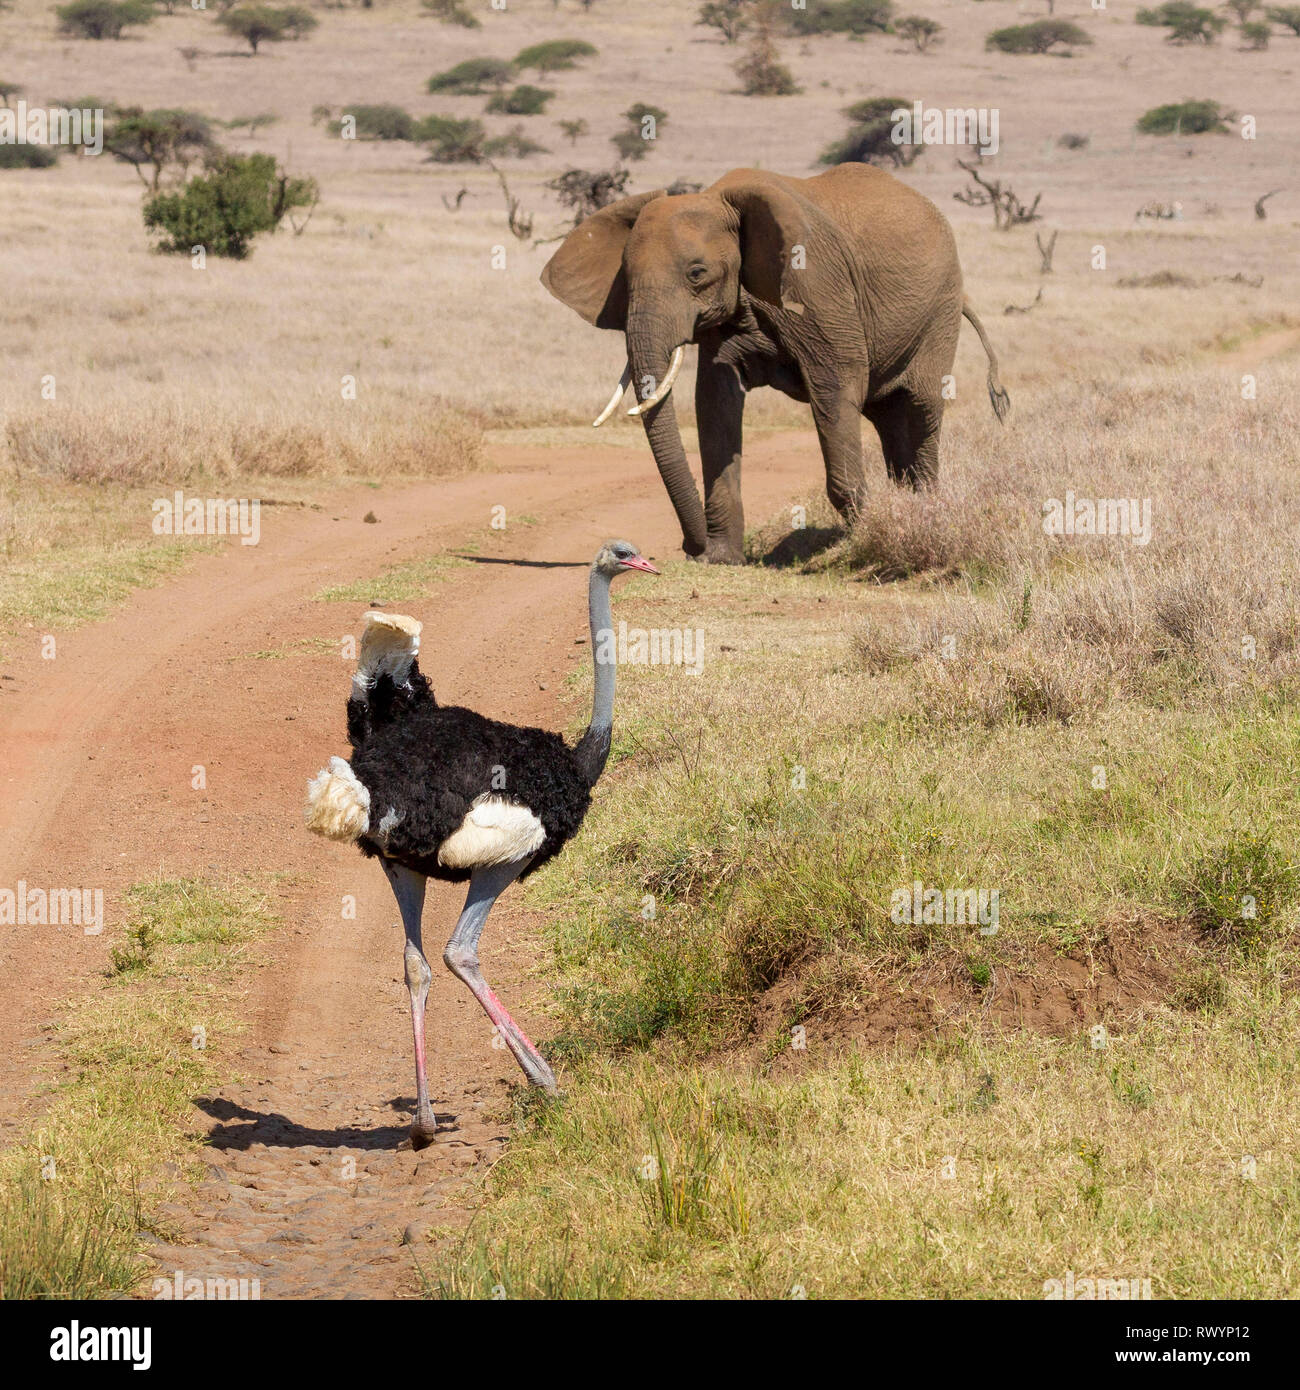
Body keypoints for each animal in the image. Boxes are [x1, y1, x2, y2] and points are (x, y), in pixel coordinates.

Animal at [540, 164, 1009, 564]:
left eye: (697, 274)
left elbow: (836, 386)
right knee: (890, 416)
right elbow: (715, 402)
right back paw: (904, 508)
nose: (689, 547)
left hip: (940, 310)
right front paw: (721, 559)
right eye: (624, 279)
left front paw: (861, 538)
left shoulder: (818, 287)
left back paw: (924, 511)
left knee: (921, 406)